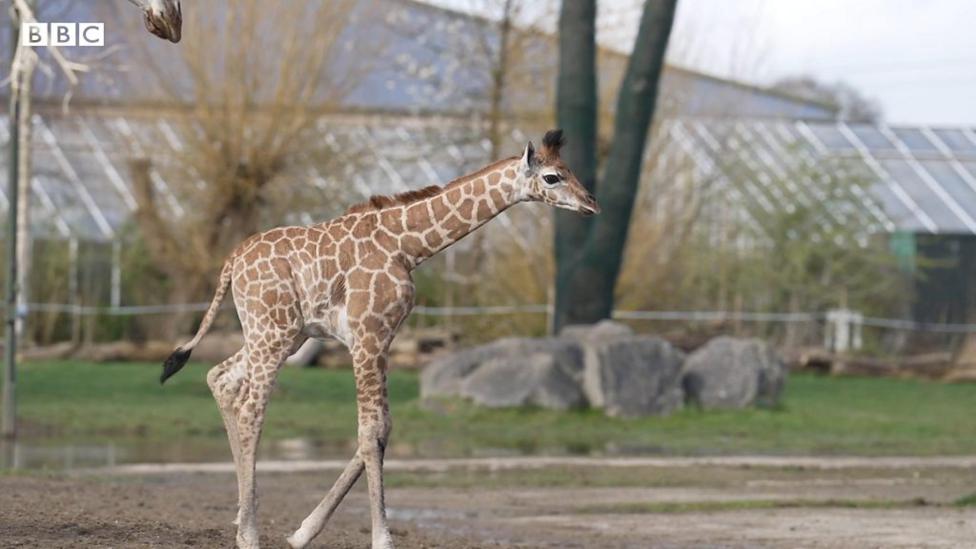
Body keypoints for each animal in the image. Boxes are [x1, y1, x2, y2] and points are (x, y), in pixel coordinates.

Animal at [159, 129, 599, 549]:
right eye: (553, 176)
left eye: (570, 170)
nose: (591, 204)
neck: (409, 245)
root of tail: (232, 261)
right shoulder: (368, 334)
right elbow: (371, 432)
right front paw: (382, 538)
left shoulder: (381, 337)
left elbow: (383, 427)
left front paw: (303, 532)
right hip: (272, 330)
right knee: (251, 408)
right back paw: (248, 534)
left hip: (282, 334)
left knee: (220, 377)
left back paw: (239, 516)